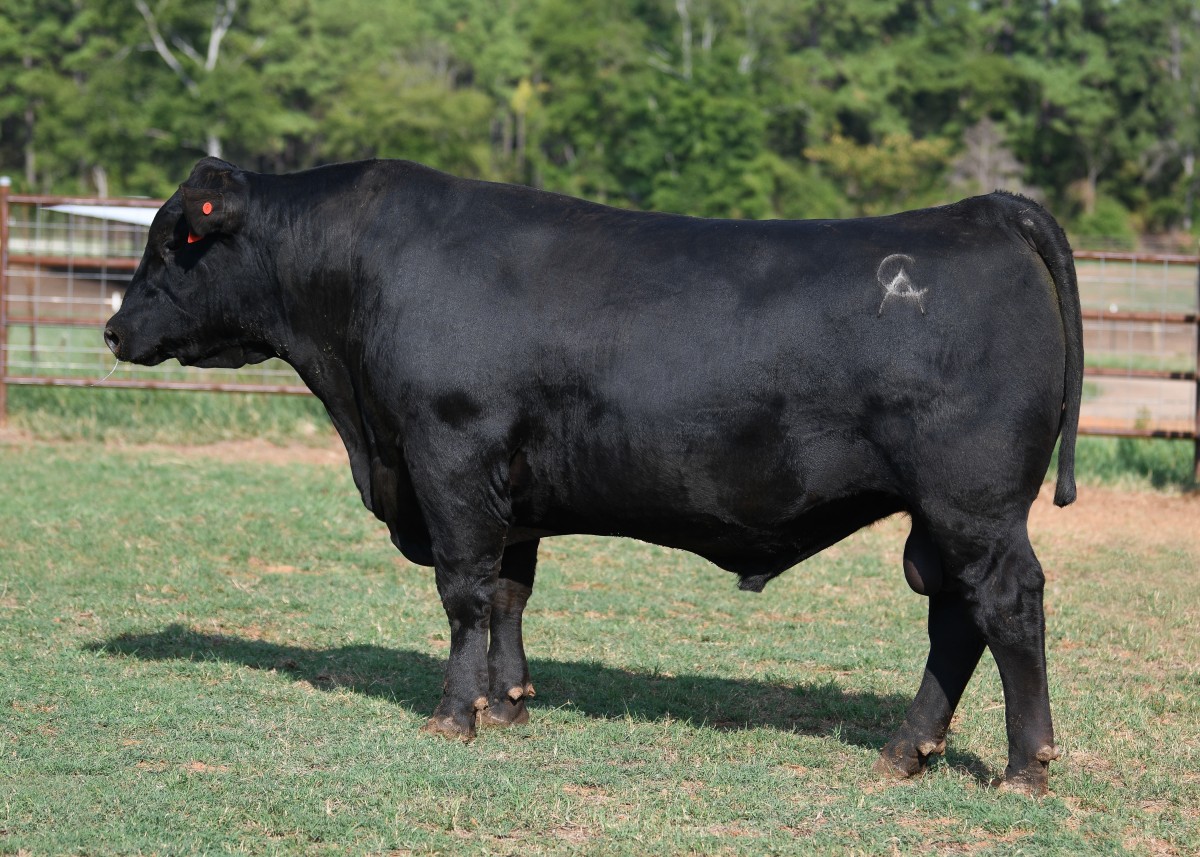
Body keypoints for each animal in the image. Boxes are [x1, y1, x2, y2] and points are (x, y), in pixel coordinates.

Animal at [104, 157, 1082, 796]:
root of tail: (984, 209)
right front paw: (508, 703)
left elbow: (463, 590)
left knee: (1006, 605)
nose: (113, 329)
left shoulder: (449, 456)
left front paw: (454, 714)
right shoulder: (509, 487)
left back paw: (1023, 766)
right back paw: (906, 749)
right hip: (943, 515)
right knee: (955, 618)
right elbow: (509, 590)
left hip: (974, 504)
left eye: (174, 242)